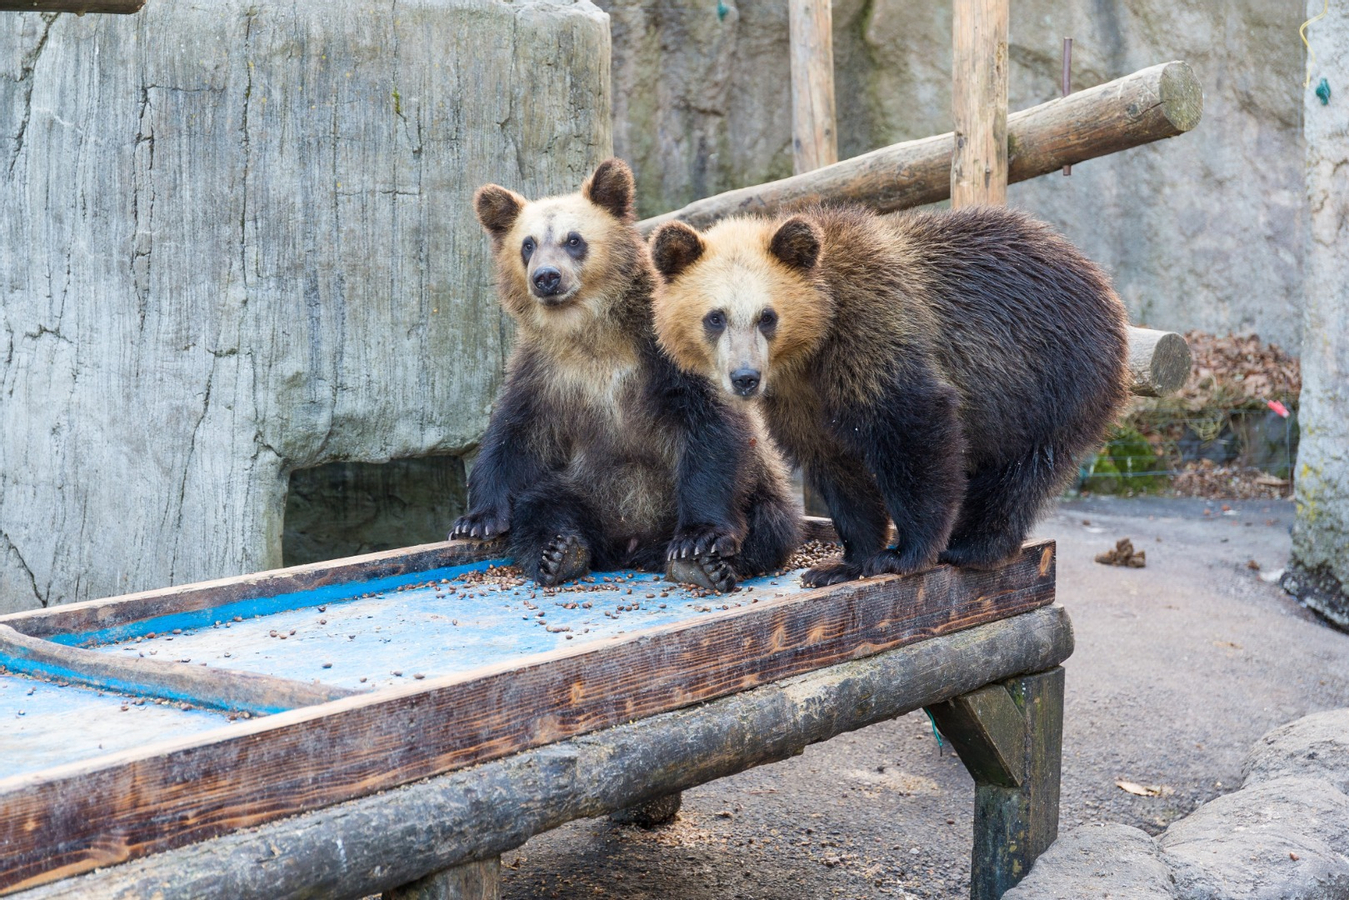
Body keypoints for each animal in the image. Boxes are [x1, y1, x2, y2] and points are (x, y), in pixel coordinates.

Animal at [450, 159, 800, 592]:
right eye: (527, 244)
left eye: (573, 240)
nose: (546, 277)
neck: (590, 330)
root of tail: (631, 545)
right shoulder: (547, 371)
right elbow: (514, 435)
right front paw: (475, 521)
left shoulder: (668, 357)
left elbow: (711, 431)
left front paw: (699, 539)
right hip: (587, 489)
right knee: (540, 507)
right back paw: (560, 553)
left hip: (760, 484)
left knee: (771, 524)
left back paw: (705, 564)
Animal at [649, 203, 1129, 587]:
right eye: (715, 317)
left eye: (767, 316)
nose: (745, 377)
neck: (814, 346)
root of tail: (1101, 281)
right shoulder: (801, 401)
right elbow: (838, 470)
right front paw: (843, 563)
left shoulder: (876, 335)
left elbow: (914, 431)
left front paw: (904, 554)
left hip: (1053, 377)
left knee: (1022, 470)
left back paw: (974, 545)